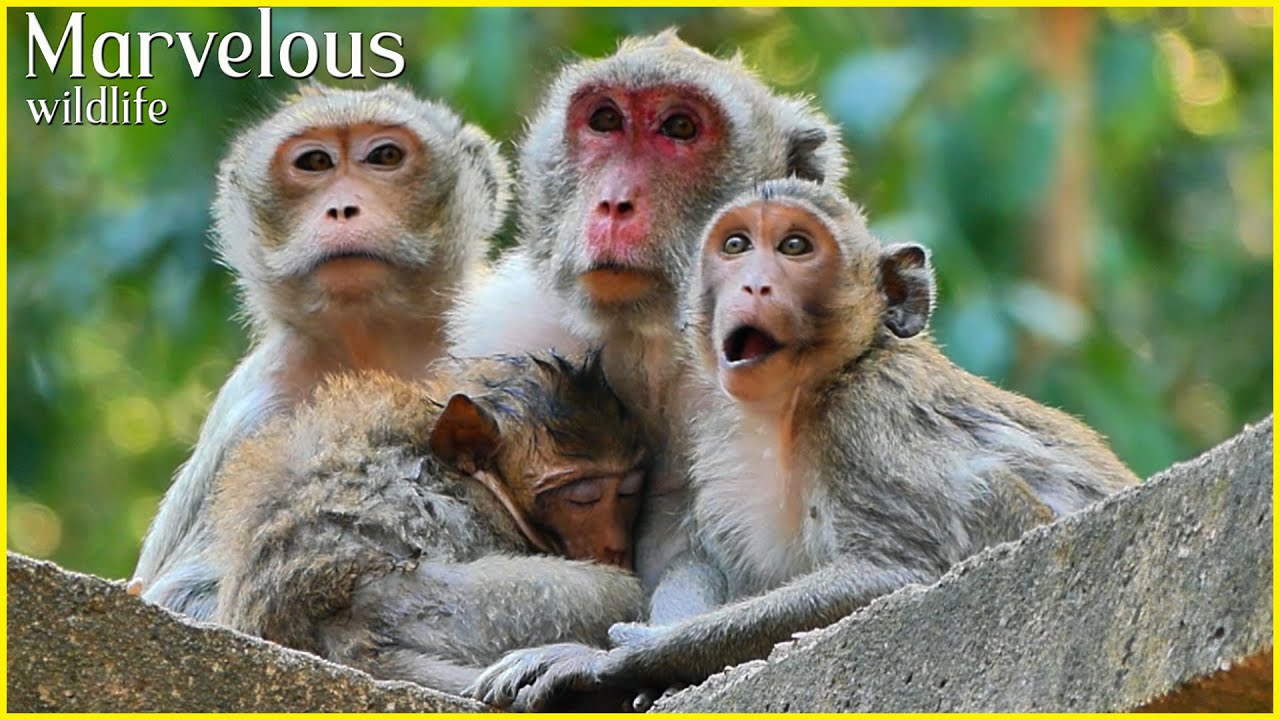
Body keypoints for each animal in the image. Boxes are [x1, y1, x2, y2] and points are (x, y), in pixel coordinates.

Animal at [132, 84, 511, 620]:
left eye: (385, 156)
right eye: (314, 162)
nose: (343, 209)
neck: (371, 345)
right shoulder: (254, 416)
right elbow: (185, 589)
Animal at [465, 178, 1140, 711]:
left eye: (795, 247)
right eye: (736, 246)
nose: (755, 286)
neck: (797, 405)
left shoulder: (866, 419)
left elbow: (899, 573)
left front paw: (616, 660)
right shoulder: (717, 431)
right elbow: (704, 559)